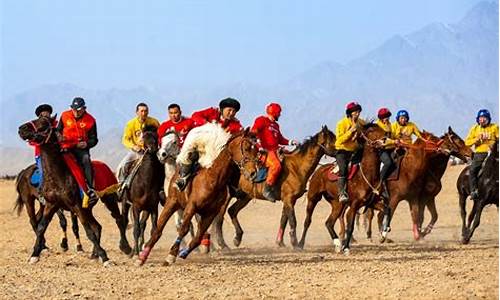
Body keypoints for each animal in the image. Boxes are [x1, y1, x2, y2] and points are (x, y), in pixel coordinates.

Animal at [17, 116, 129, 266]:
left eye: (44, 123)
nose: (21, 129)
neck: (58, 174)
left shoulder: (75, 206)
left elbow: (87, 232)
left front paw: (105, 258)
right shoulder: (51, 205)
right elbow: (42, 227)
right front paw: (35, 255)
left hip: (108, 199)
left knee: (118, 220)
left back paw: (126, 247)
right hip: (31, 200)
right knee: (97, 226)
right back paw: (94, 254)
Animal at [120, 125, 165, 256]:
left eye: (156, 135)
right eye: (144, 136)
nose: (152, 148)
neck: (145, 183)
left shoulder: (153, 207)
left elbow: (153, 229)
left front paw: (145, 249)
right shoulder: (136, 207)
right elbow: (136, 229)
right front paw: (134, 252)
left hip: (146, 209)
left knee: (142, 224)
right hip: (125, 204)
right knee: (124, 222)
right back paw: (126, 247)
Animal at [139, 125, 260, 266]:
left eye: (256, 149)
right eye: (246, 148)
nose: (253, 173)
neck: (213, 179)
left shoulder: (210, 213)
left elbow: (198, 236)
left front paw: (184, 252)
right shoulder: (191, 206)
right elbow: (184, 228)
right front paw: (171, 255)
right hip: (172, 203)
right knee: (158, 229)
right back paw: (143, 255)